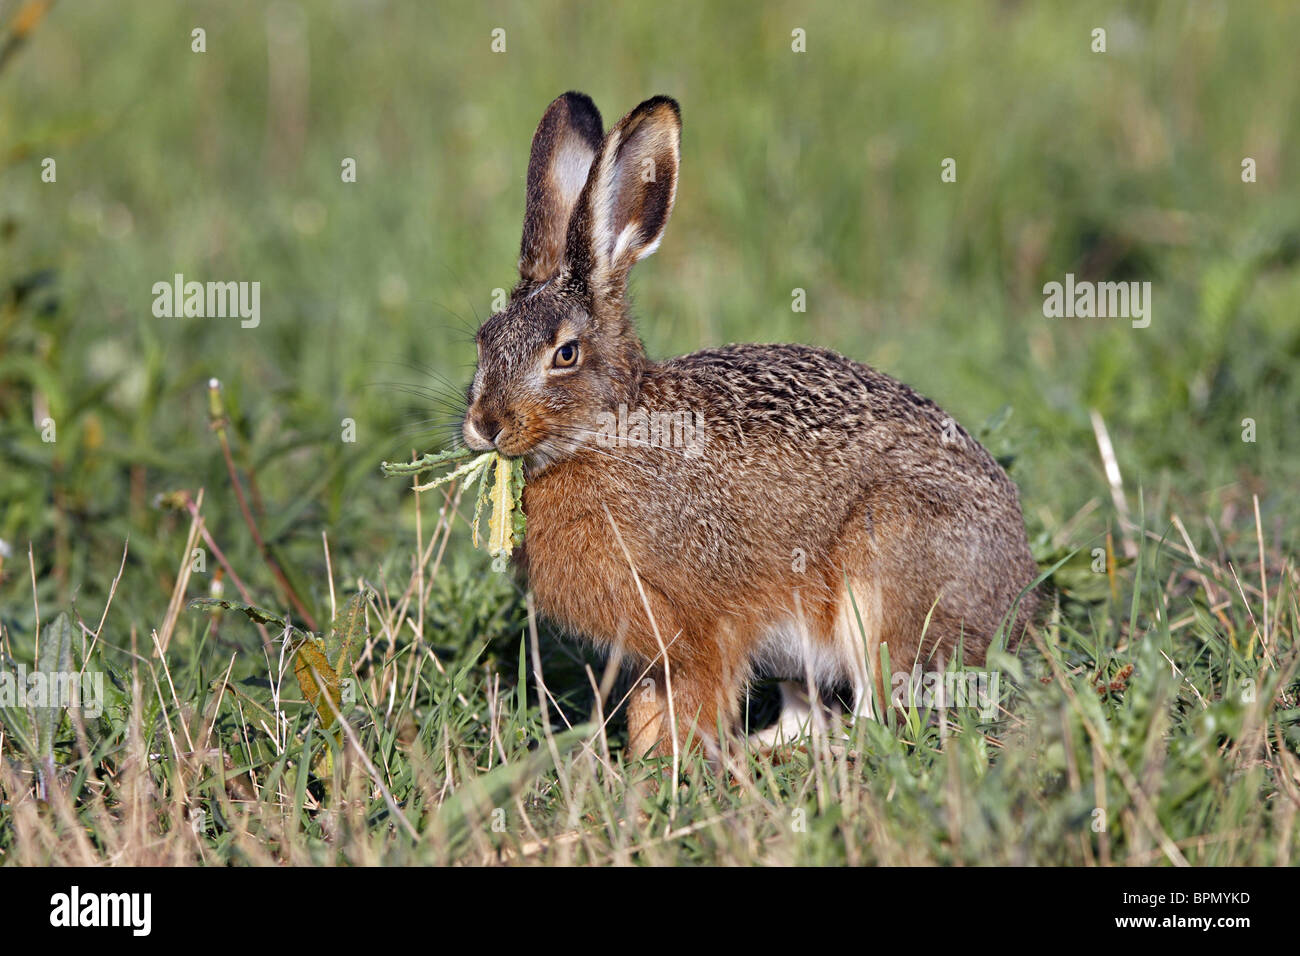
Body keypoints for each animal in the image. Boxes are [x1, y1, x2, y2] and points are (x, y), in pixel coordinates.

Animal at [461, 92, 1040, 759]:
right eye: (484, 340)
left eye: (565, 354)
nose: (485, 424)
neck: (607, 429)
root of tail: (1018, 595)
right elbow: (650, 711)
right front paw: (643, 763)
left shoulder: (702, 627)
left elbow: (696, 702)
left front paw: (668, 768)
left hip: (885, 578)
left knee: (883, 713)